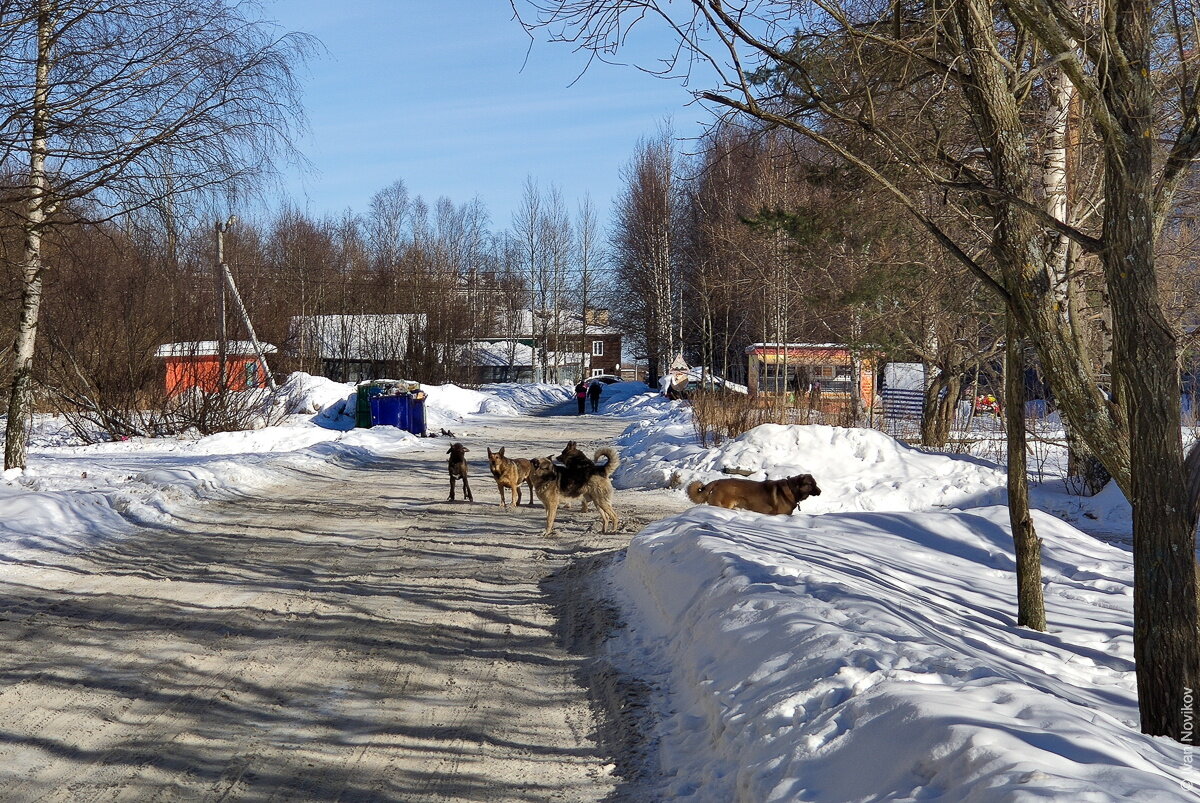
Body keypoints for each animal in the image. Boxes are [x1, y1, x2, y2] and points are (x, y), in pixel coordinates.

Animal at [686, 472, 825, 516]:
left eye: (816, 483)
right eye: (811, 484)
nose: (820, 491)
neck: (792, 489)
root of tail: (717, 481)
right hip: (723, 505)